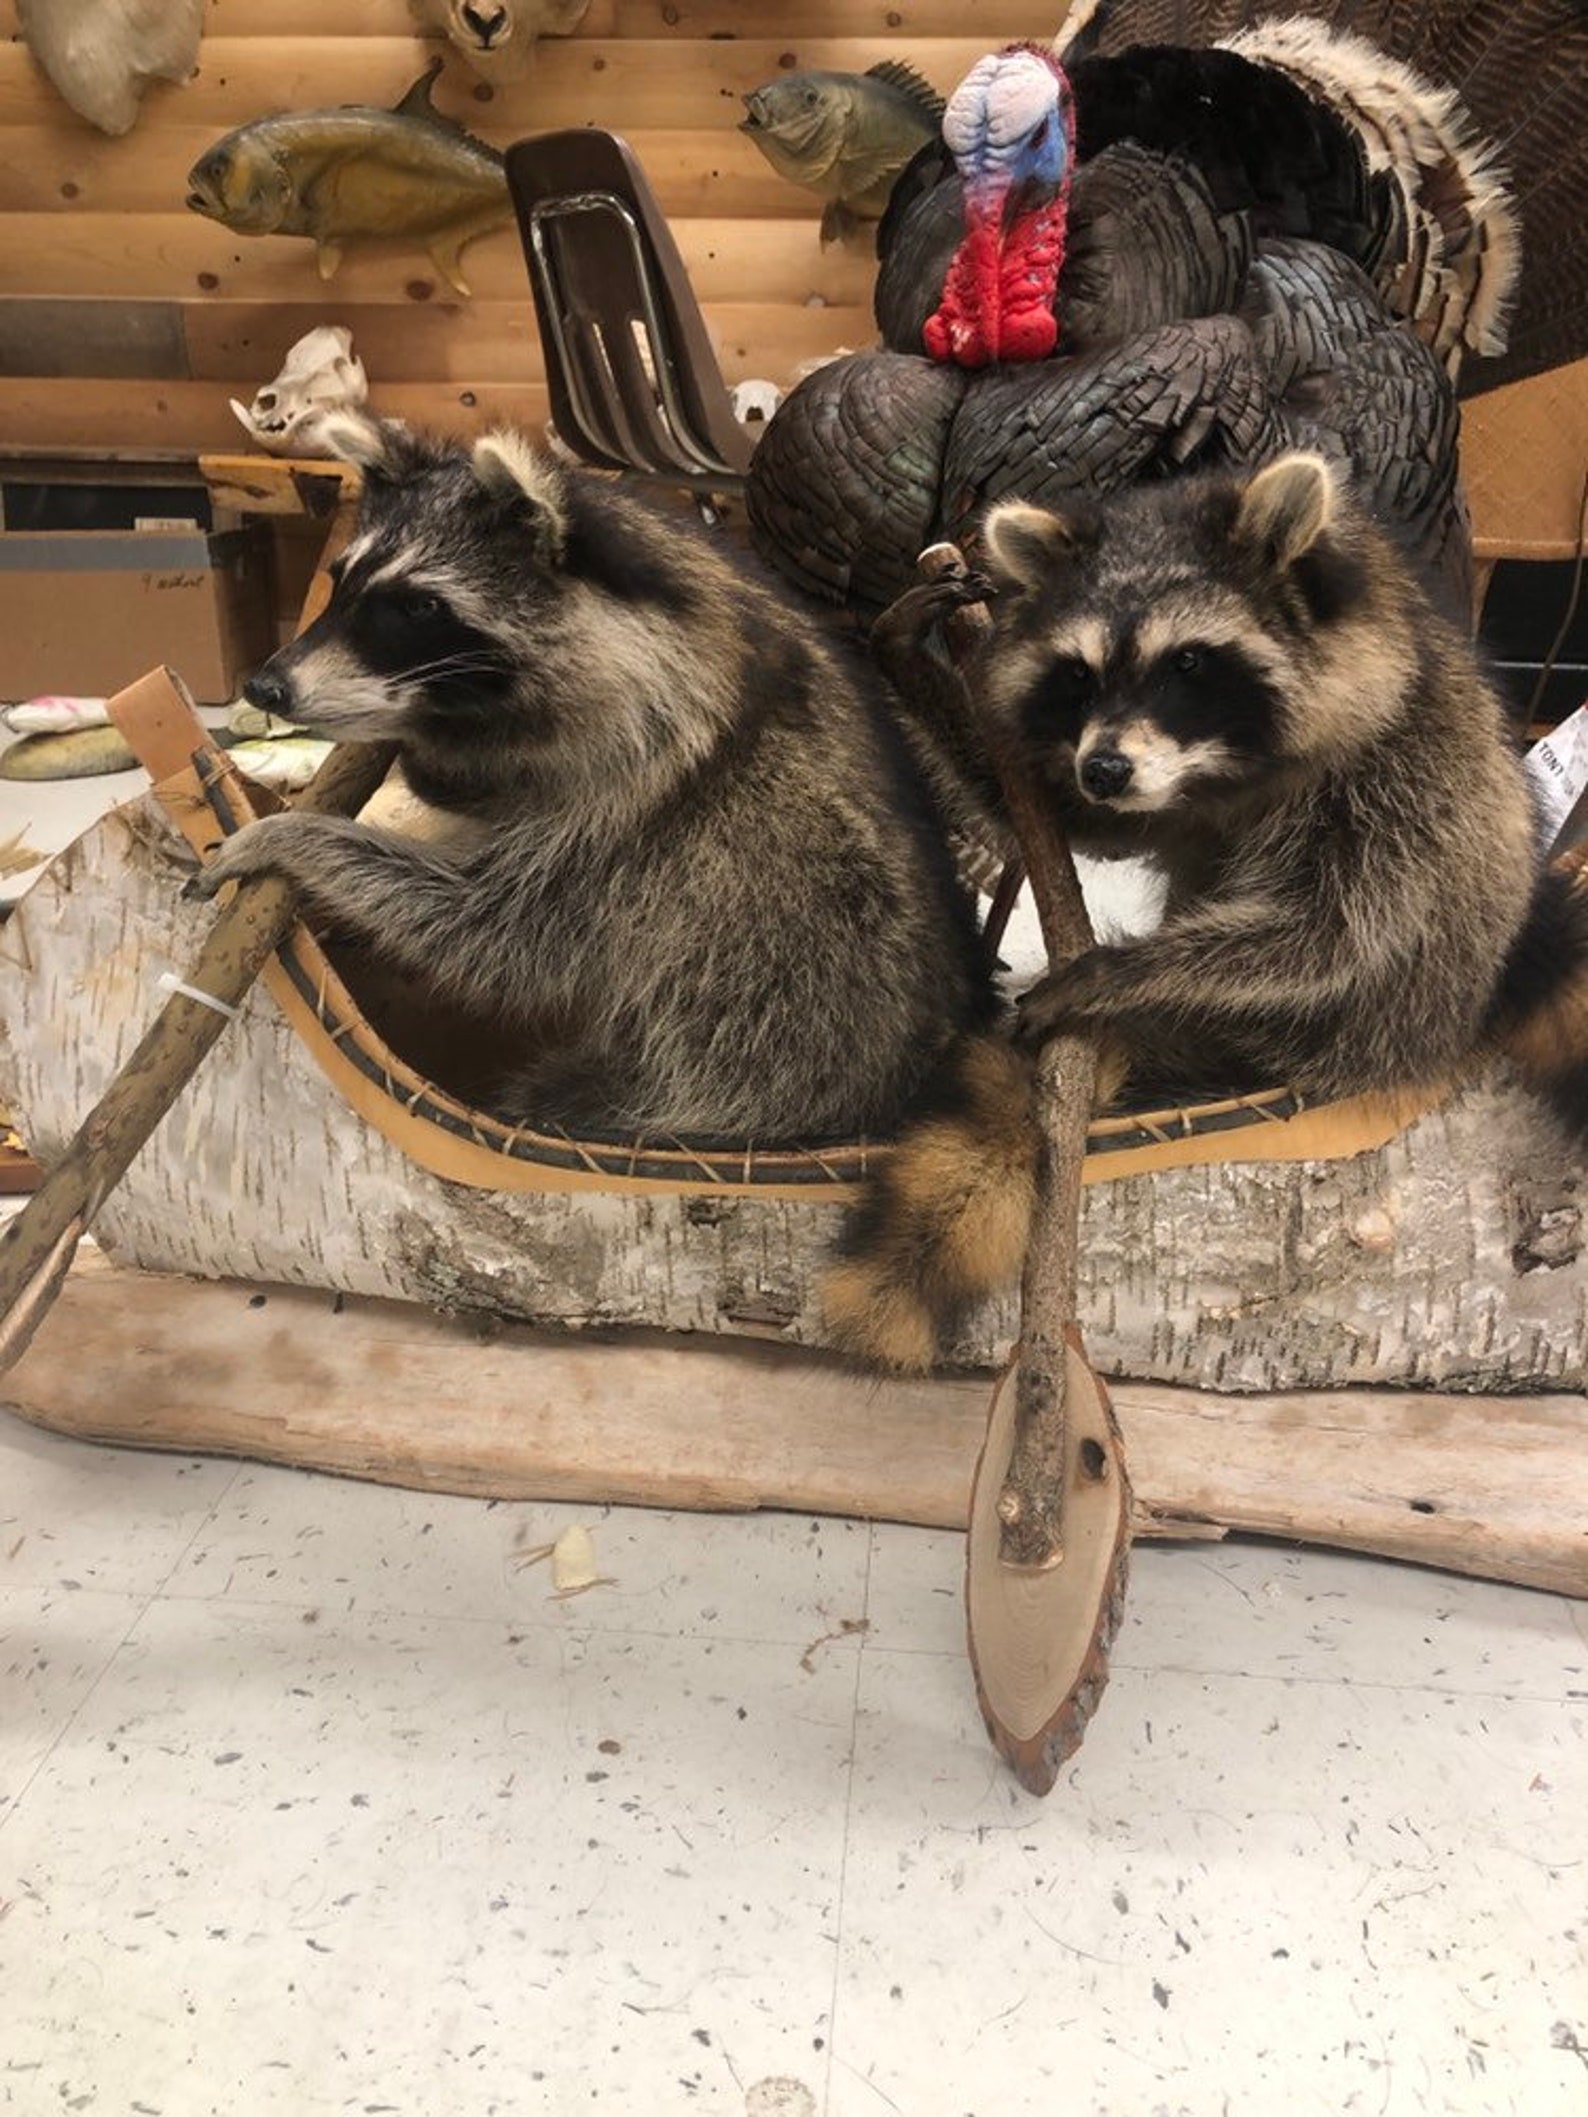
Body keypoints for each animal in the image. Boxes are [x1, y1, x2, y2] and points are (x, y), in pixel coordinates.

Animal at [191, 413, 995, 1140]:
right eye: (341, 580)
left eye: (419, 606)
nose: (266, 687)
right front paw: (428, 764)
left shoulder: (648, 803)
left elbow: (490, 927)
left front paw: (293, 834)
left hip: (770, 1026)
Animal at [826, 450, 1588, 1368]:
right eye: (1078, 674)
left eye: (1186, 664)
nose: (1104, 767)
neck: (1225, 771)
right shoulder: (1146, 790)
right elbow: (1072, 822)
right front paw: (913, 660)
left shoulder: (1402, 782)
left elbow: (1327, 937)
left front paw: (1119, 970)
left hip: (1360, 1017)